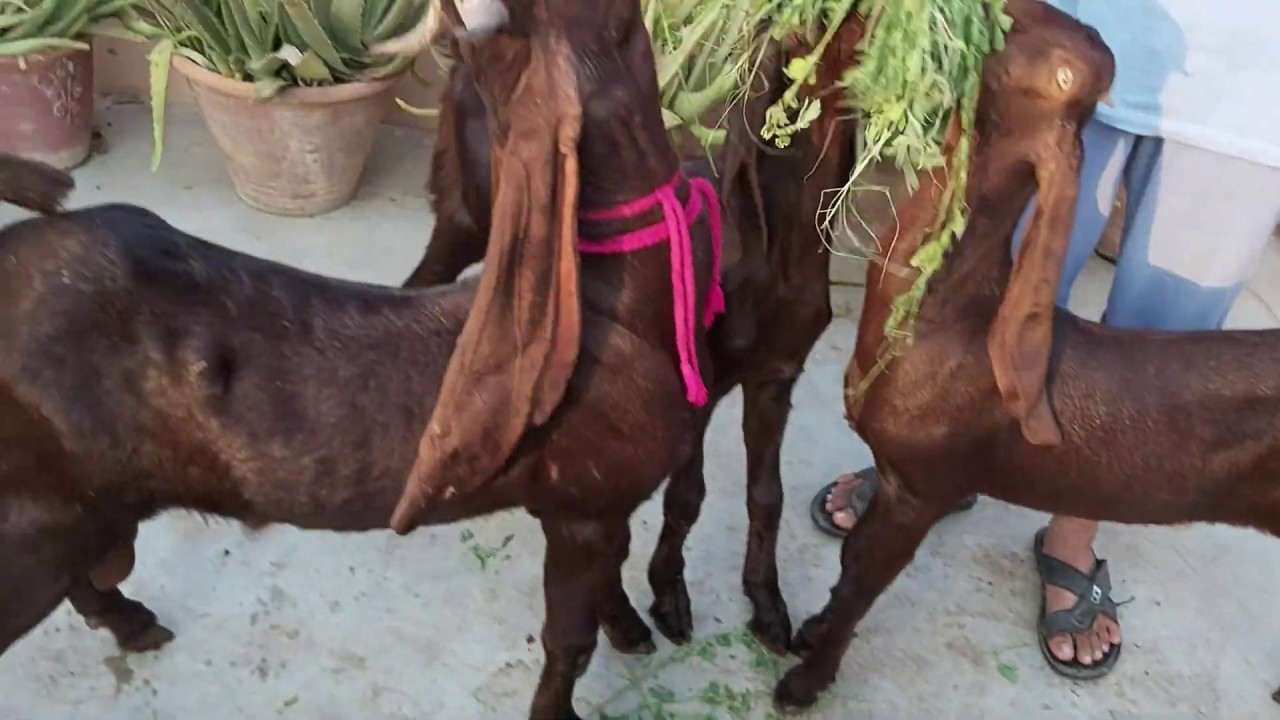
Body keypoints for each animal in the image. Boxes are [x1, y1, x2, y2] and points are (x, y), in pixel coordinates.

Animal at [0, 0, 724, 715]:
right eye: (619, 22)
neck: (614, 299)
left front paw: (631, 627)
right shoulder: (587, 503)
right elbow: (569, 641)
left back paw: (133, 622)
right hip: (43, 516)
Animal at [398, 6, 868, 656]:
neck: (774, 242)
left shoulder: (776, 377)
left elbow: (766, 495)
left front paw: (768, 606)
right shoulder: (696, 381)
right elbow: (686, 496)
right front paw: (667, 594)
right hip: (468, 219)